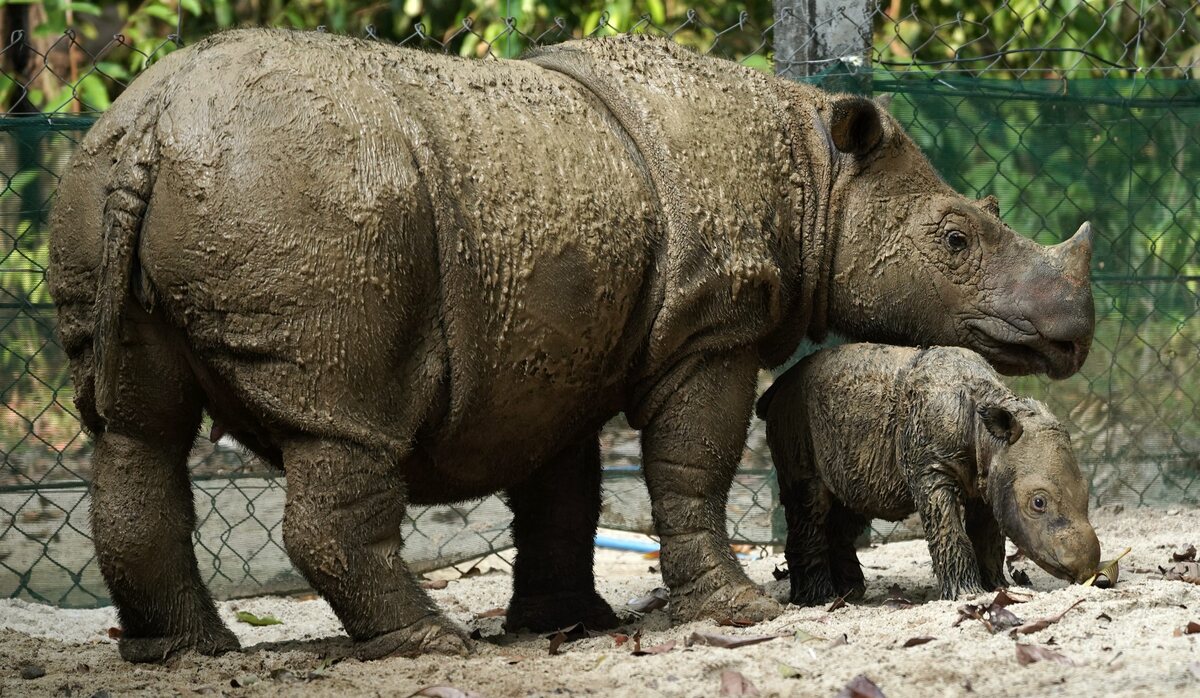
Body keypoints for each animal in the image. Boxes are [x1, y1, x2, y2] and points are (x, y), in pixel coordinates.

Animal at [757, 343, 1101, 604]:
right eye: (1038, 503)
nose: (1084, 569)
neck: (989, 434)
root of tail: (777, 386)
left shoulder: (991, 480)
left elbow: (989, 537)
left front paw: (998, 587)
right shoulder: (933, 471)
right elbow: (949, 530)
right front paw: (968, 594)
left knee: (851, 503)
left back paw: (850, 591)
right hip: (795, 417)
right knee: (810, 499)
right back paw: (819, 599)